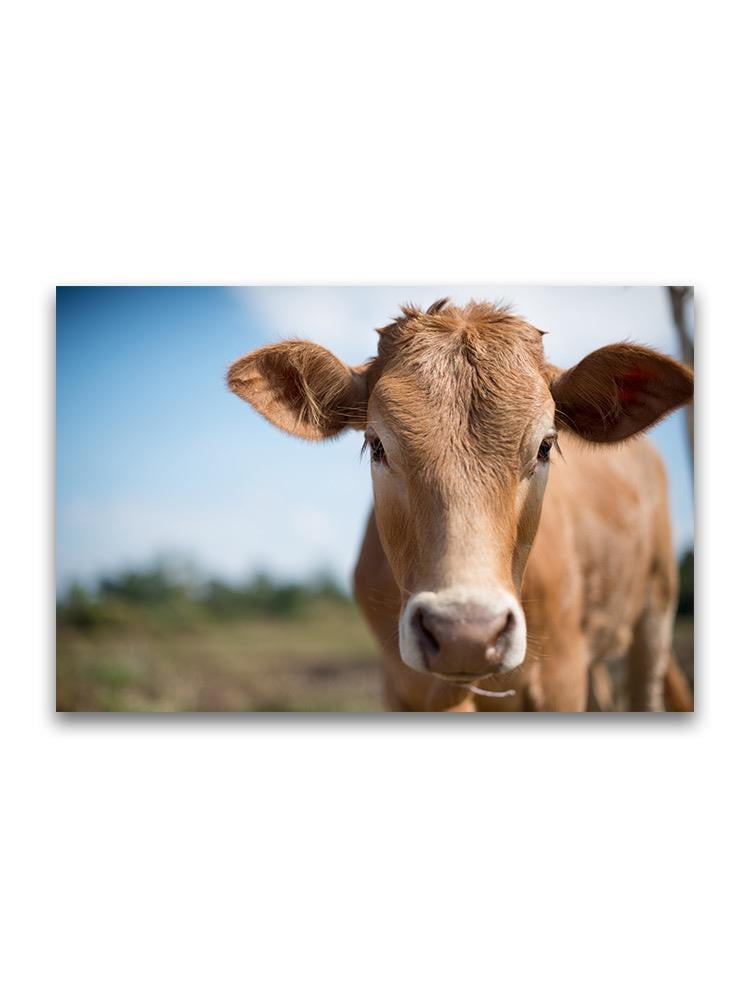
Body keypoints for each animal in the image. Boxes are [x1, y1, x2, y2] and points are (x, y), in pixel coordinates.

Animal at [228, 298, 694, 712]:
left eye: (545, 446)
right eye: (377, 445)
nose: (465, 634)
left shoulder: (562, 677)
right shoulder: (402, 688)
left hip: (655, 609)